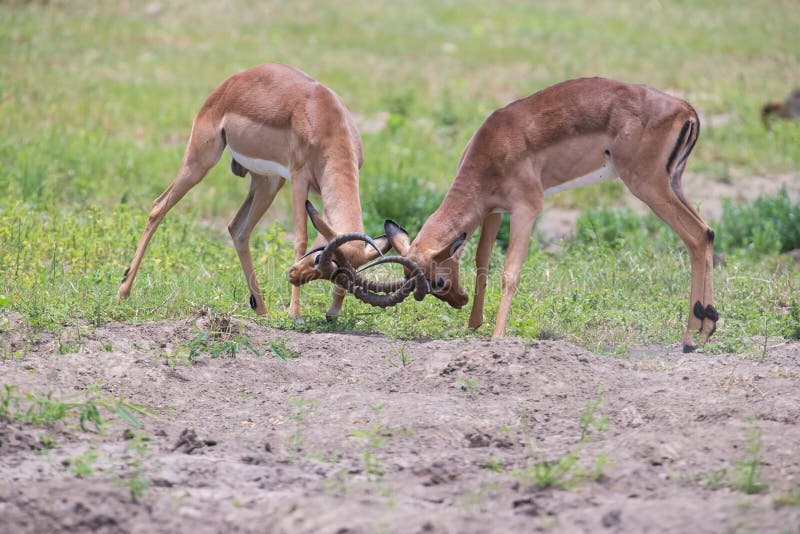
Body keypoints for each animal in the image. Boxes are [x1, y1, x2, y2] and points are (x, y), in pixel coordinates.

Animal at [117, 63, 390, 319]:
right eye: (318, 259)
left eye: (343, 276)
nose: (294, 275)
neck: (325, 118)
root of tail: (232, 82)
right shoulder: (299, 180)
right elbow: (300, 239)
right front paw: (295, 315)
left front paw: (332, 311)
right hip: (200, 161)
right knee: (158, 207)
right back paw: (123, 290)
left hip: (268, 182)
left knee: (238, 230)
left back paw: (261, 308)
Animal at [344, 77, 718, 352]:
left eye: (438, 282)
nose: (458, 302)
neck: (494, 145)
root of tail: (686, 110)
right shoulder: (493, 210)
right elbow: (482, 261)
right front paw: (474, 326)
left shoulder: (527, 208)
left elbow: (510, 273)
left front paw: (497, 336)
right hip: (672, 183)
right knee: (707, 232)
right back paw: (706, 327)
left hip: (648, 186)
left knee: (695, 236)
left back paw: (692, 337)